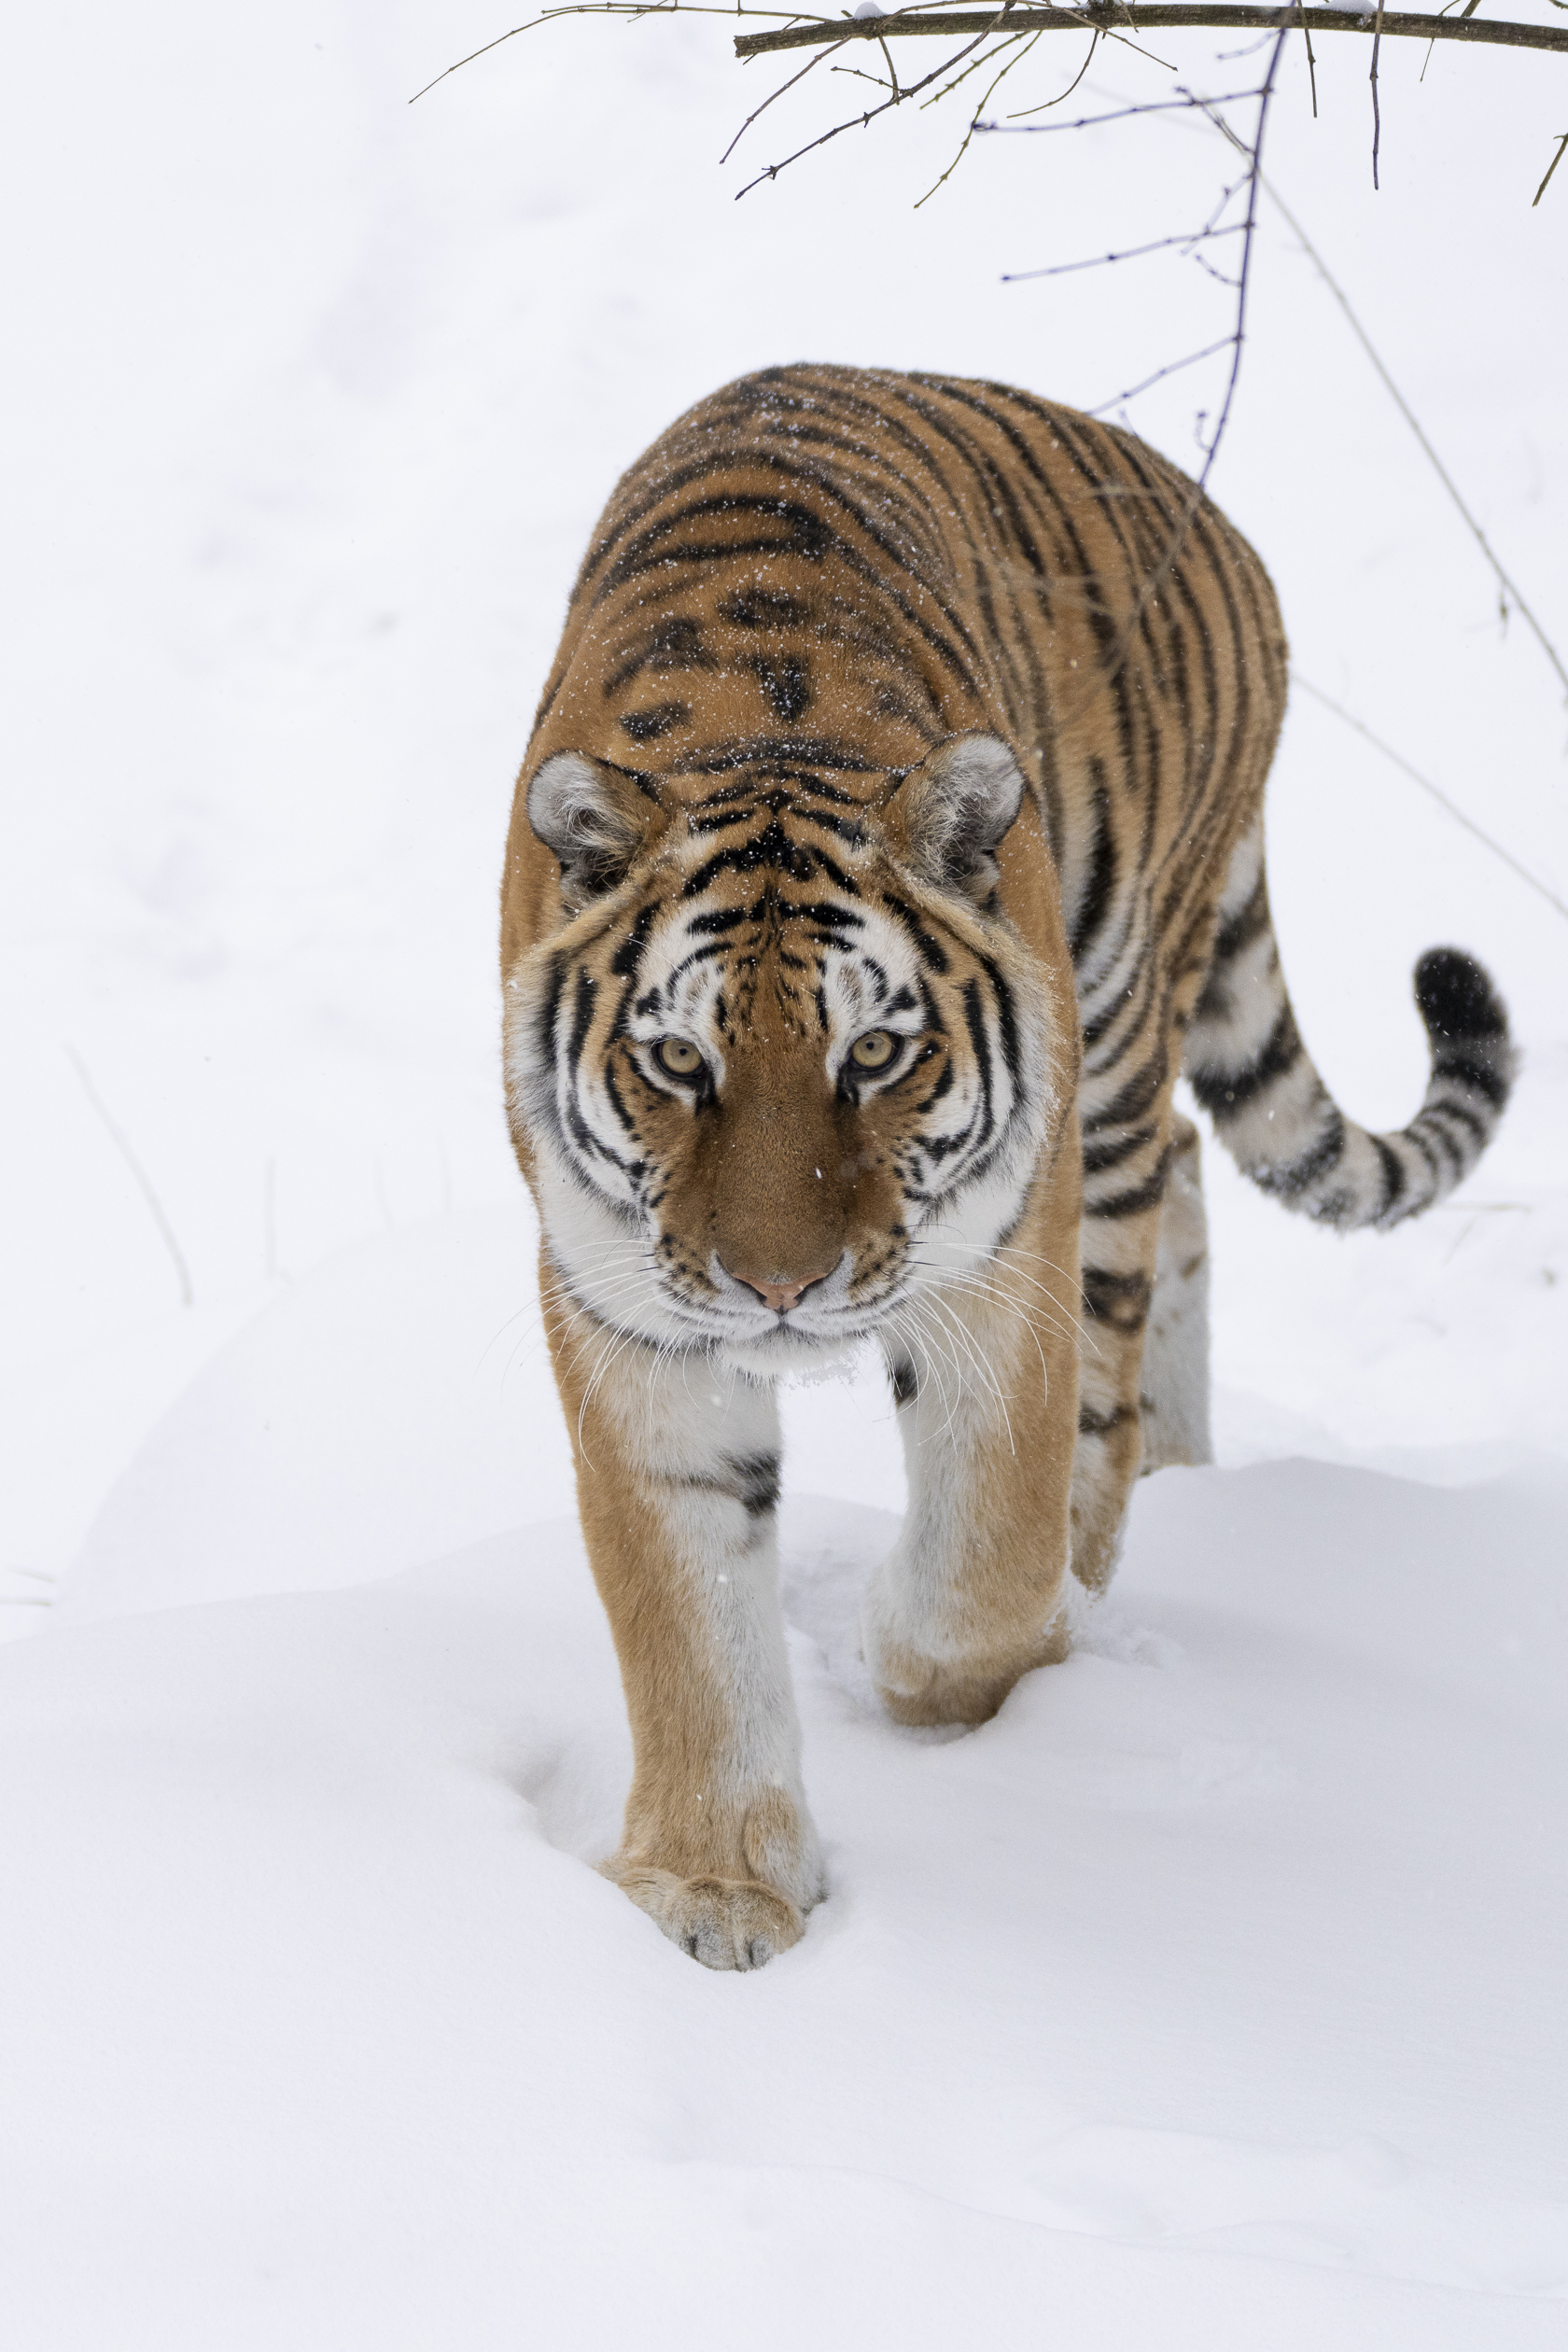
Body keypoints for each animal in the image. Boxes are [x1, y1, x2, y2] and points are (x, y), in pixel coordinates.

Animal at [499, 364, 1514, 1972]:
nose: (777, 1289)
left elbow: (984, 1550)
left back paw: (1098, 1576)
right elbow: (683, 1604)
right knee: (1193, 1181)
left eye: (873, 1055)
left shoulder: (998, 1259)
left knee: (1129, 1302)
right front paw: (713, 1891)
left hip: (1115, 1048)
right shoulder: (622, 1306)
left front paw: (931, 1664)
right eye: (678, 1065)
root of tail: (1211, 519)